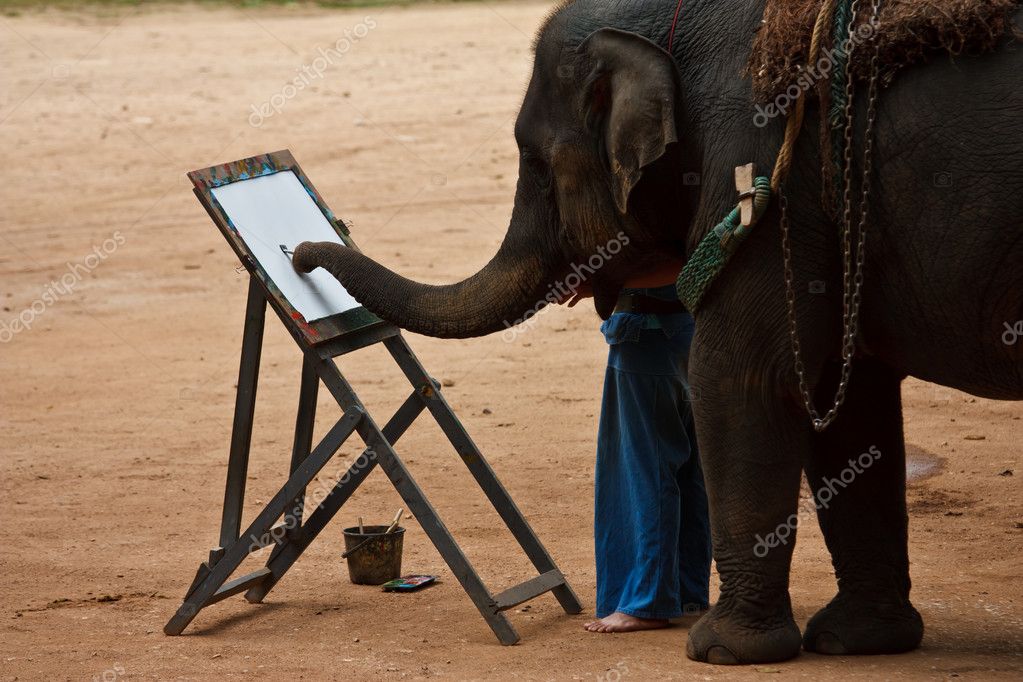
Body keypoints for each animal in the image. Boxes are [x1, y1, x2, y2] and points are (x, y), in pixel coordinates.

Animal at [293, 0, 1023, 665]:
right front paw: (856, 641)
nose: (300, 254)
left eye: (535, 162)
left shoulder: (763, 174)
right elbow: (847, 402)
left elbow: (741, 377)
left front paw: (723, 652)